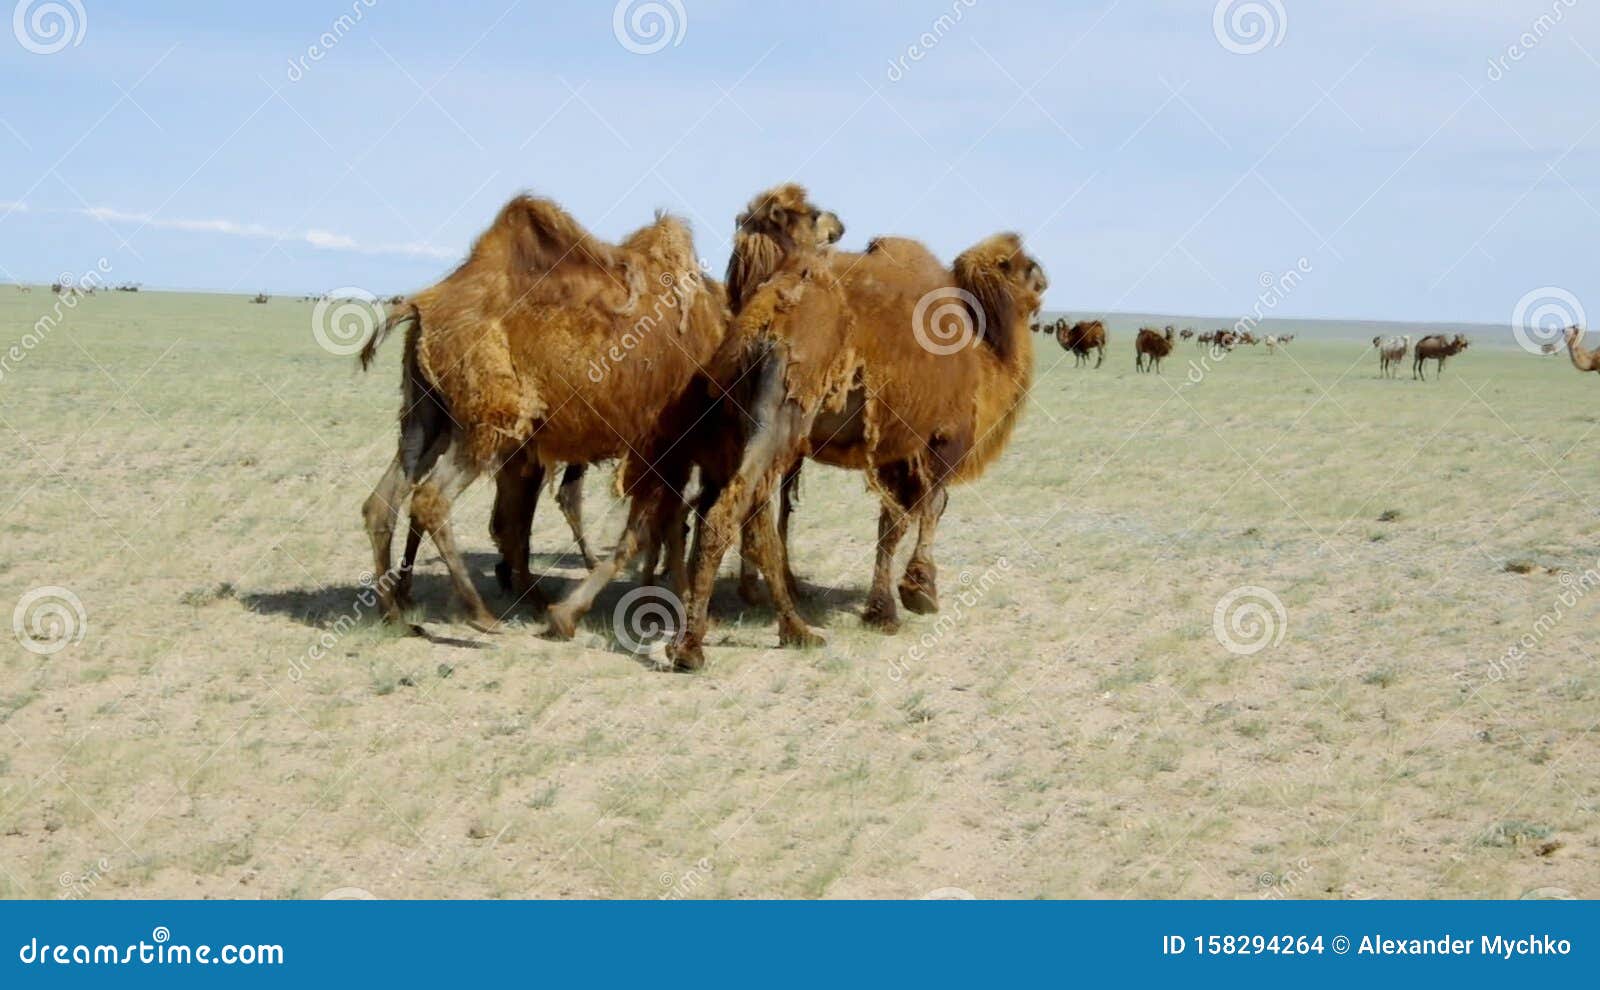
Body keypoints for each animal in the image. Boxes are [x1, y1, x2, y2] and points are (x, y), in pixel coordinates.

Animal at [665, 185, 1044, 669]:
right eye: (1027, 267)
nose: (1045, 278)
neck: (985, 355)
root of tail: (762, 324)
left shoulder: (894, 451)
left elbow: (890, 523)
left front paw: (882, 610)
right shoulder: (941, 440)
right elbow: (930, 508)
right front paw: (920, 592)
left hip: (736, 426)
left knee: (731, 514)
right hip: (782, 417)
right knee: (733, 514)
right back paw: (712, 644)